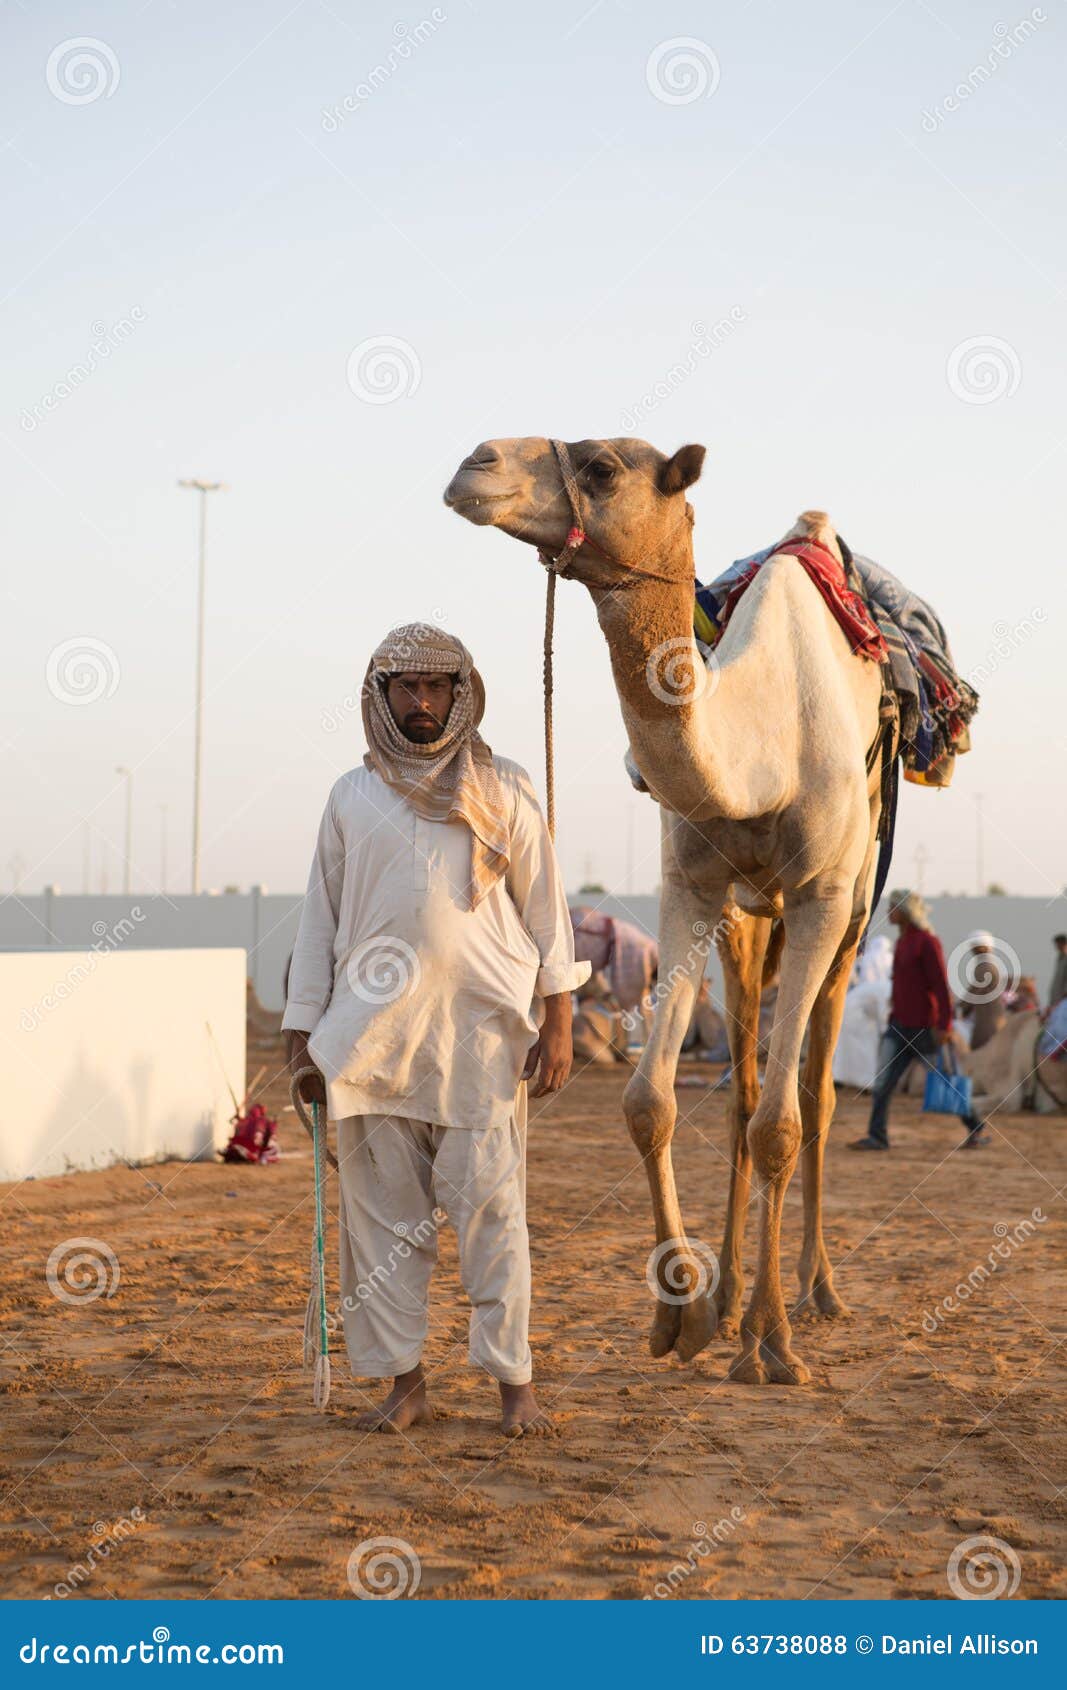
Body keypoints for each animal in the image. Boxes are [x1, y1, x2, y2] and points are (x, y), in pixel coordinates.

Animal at [444, 435, 895, 1386]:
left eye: (603, 467)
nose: (474, 462)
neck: (762, 748)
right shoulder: (691, 886)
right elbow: (650, 1104)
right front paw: (681, 1315)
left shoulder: (820, 895)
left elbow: (782, 1125)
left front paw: (770, 1345)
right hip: (746, 923)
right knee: (743, 1090)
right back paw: (729, 1299)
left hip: (850, 917)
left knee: (812, 1097)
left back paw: (815, 1293)